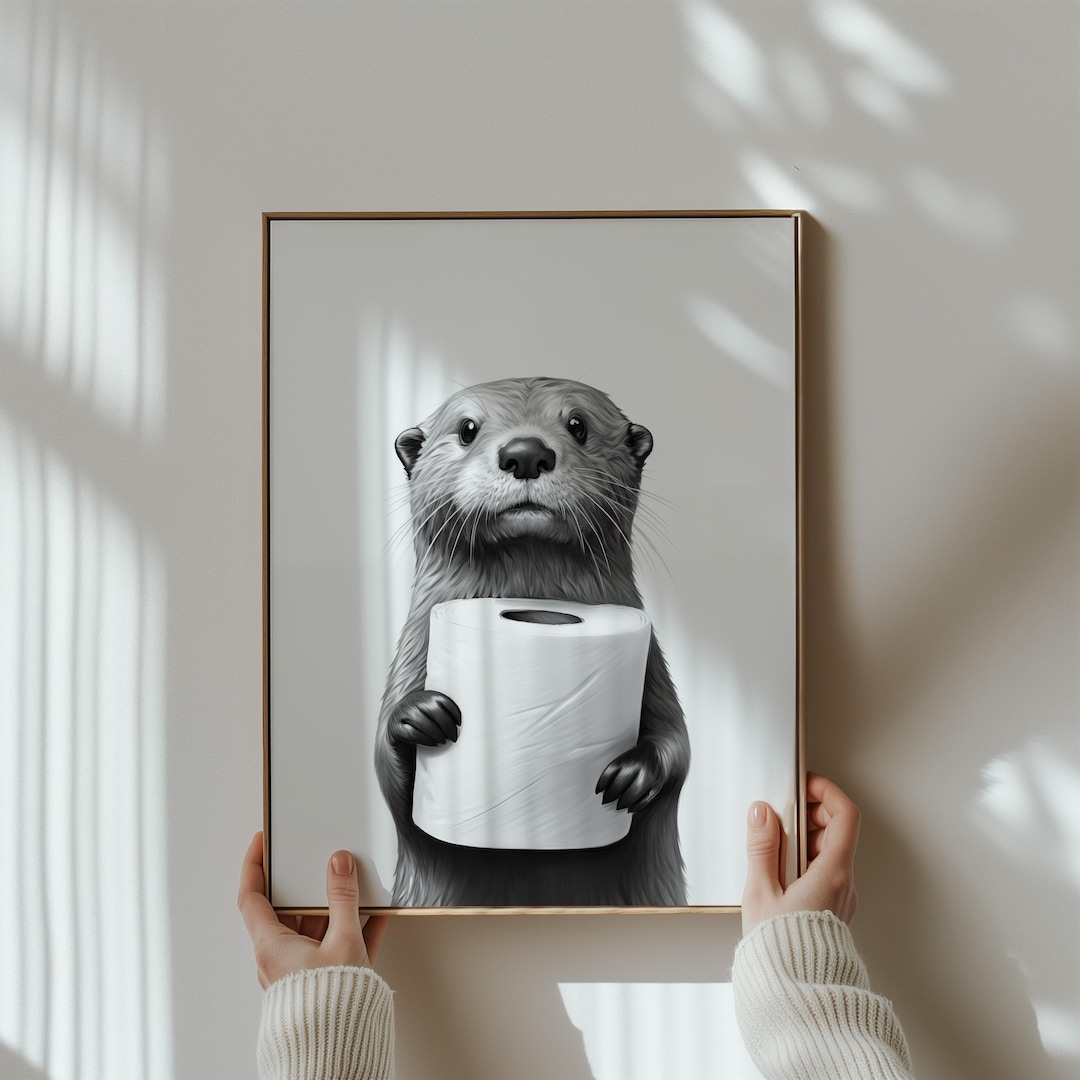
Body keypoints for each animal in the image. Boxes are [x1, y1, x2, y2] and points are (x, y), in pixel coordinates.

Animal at [375, 377, 690, 907]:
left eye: (578, 424)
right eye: (467, 428)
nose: (525, 452)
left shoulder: (653, 668)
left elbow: (678, 746)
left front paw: (634, 774)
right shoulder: (411, 655)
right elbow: (387, 772)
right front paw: (420, 715)